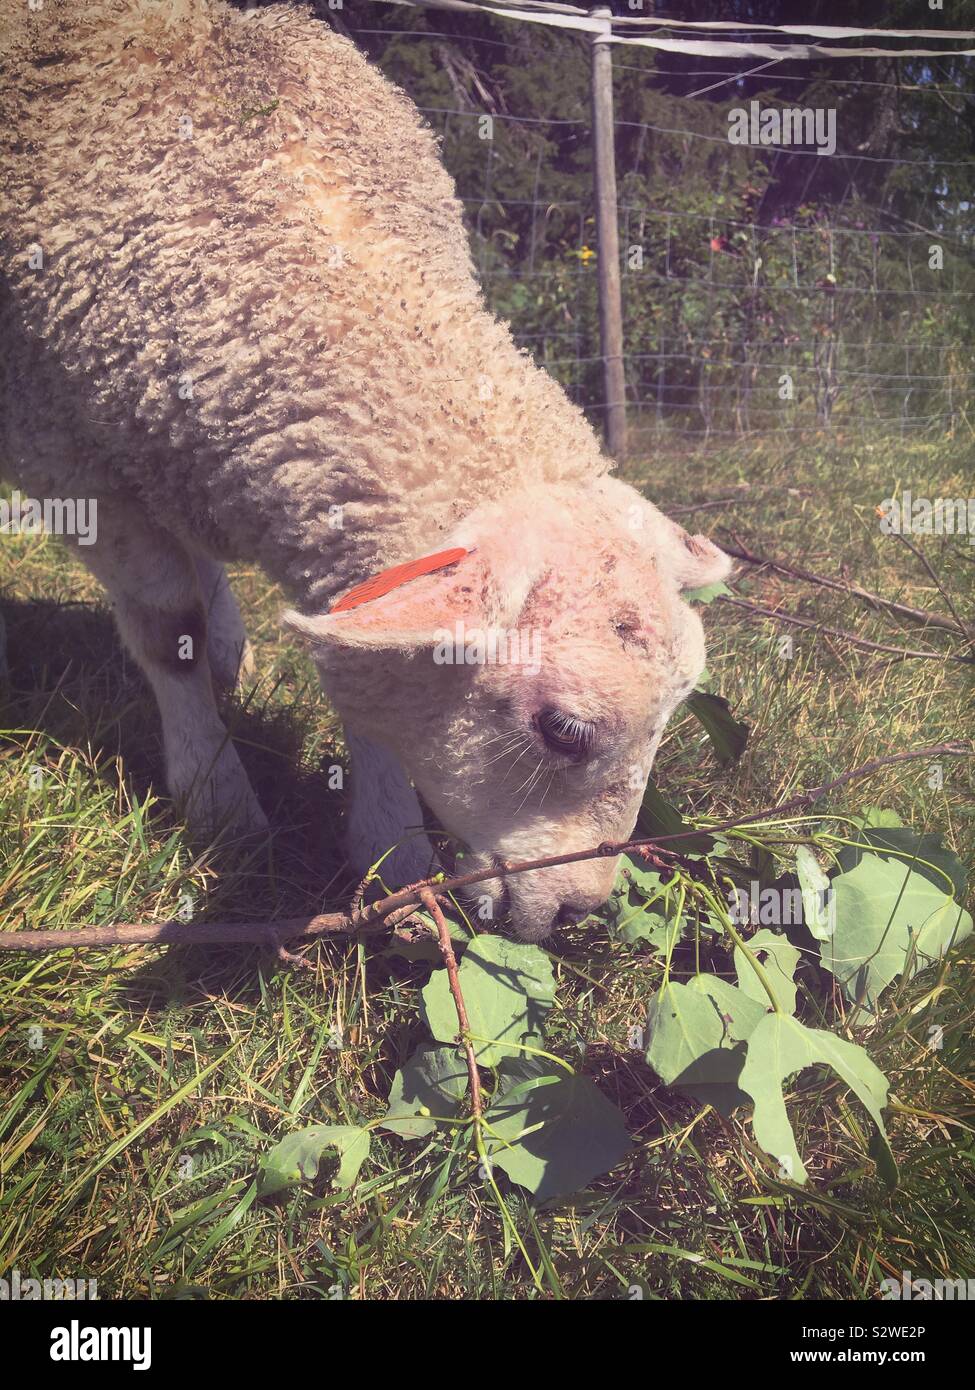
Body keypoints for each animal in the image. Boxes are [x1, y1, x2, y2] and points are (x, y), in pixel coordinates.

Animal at [0, 0, 731, 941]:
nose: (579, 912)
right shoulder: (73, 465)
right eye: (562, 729)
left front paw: (392, 852)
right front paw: (218, 802)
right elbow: (167, 630)